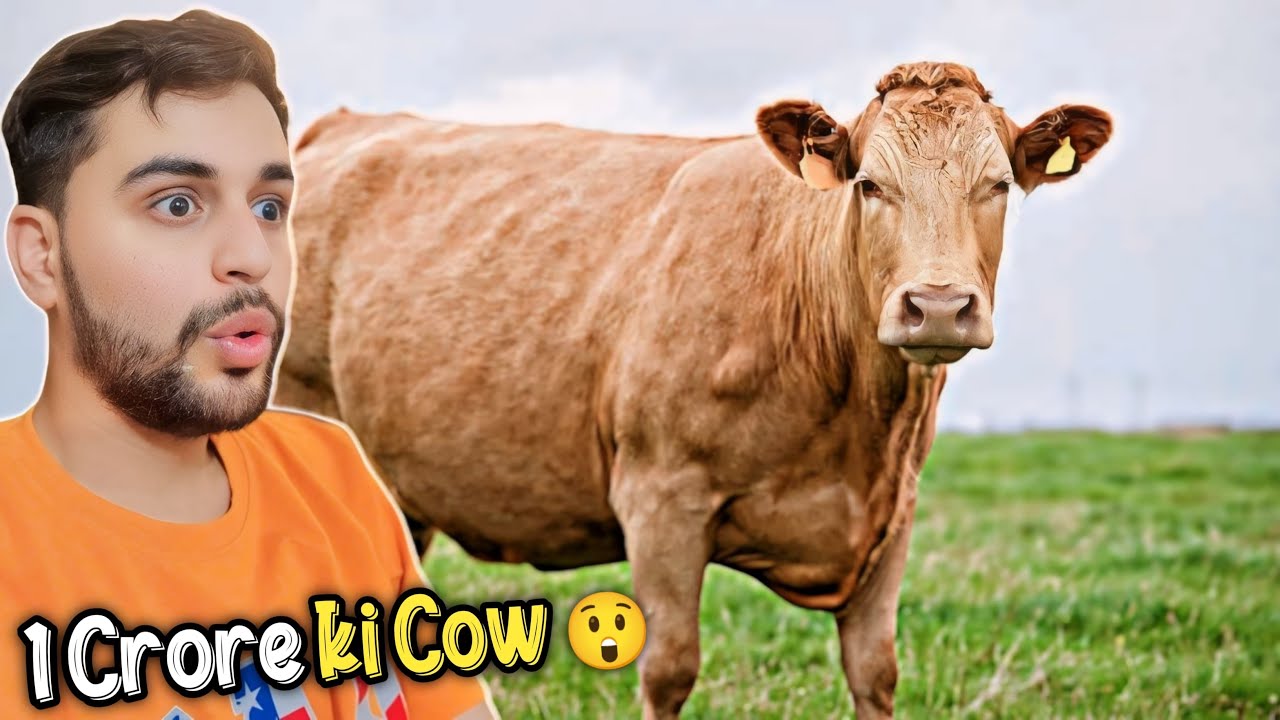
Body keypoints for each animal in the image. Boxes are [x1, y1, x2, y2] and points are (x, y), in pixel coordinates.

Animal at [276, 61, 1112, 718]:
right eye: (870, 184)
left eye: (997, 184)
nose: (937, 305)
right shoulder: (660, 497)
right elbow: (670, 668)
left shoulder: (893, 514)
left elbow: (876, 672)